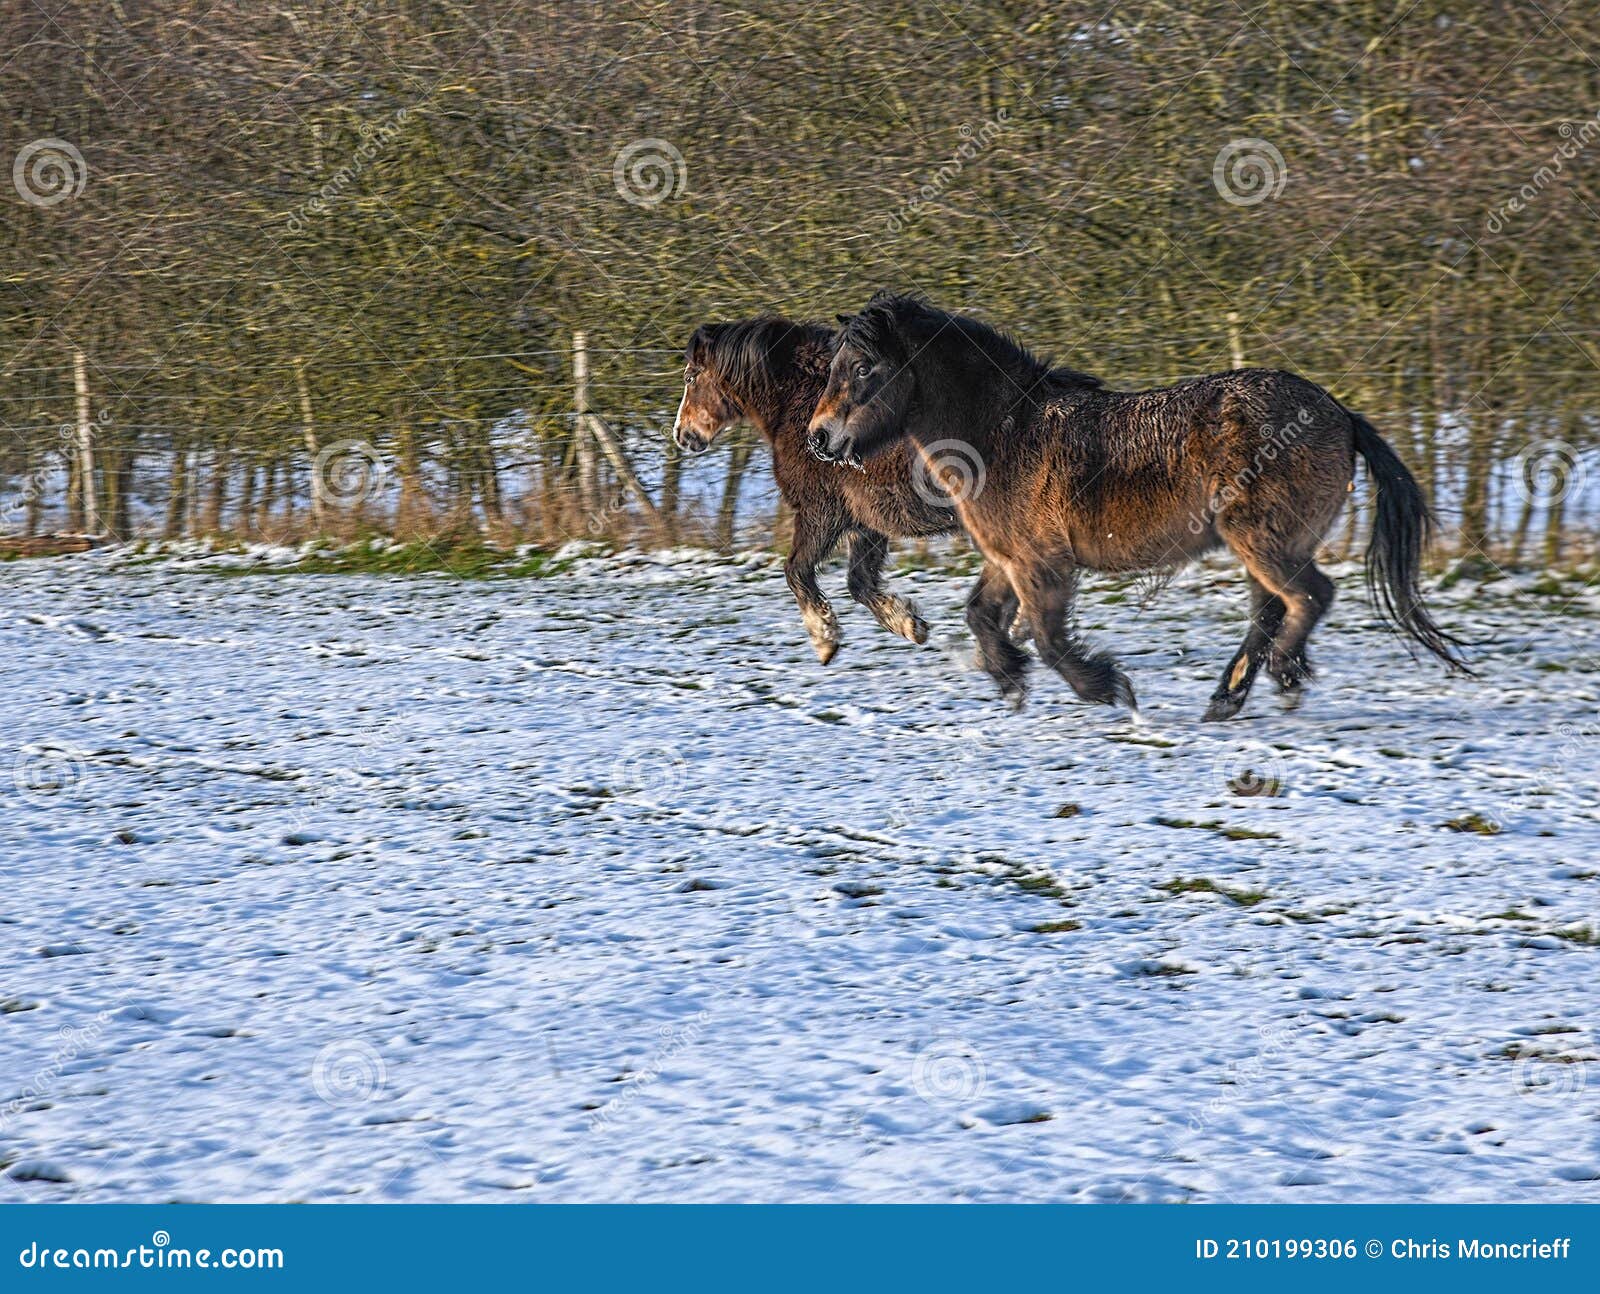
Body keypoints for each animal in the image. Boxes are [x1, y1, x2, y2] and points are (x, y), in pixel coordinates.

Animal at [672, 316, 1021, 663]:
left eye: (690, 378)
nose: (682, 435)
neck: (800, 403)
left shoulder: (820, 515)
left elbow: (795, 570)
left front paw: (824, 639)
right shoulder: (866, 523)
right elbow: (860, 583)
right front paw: (910, 624)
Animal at [807, 292, 1467, 720]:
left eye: (863, 367)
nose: (819, 438)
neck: (1002, 434)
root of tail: (1341, 414)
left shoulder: (1042, 565)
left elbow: (1047, 638)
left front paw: (1107, 688)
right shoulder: (1007, 559)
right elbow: (981, 617)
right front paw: (1010, 679)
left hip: (1261, 538)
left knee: (1307, 598)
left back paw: (1280, 674)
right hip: (1267, 543)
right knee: (1271, 610)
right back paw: (1230, 696)